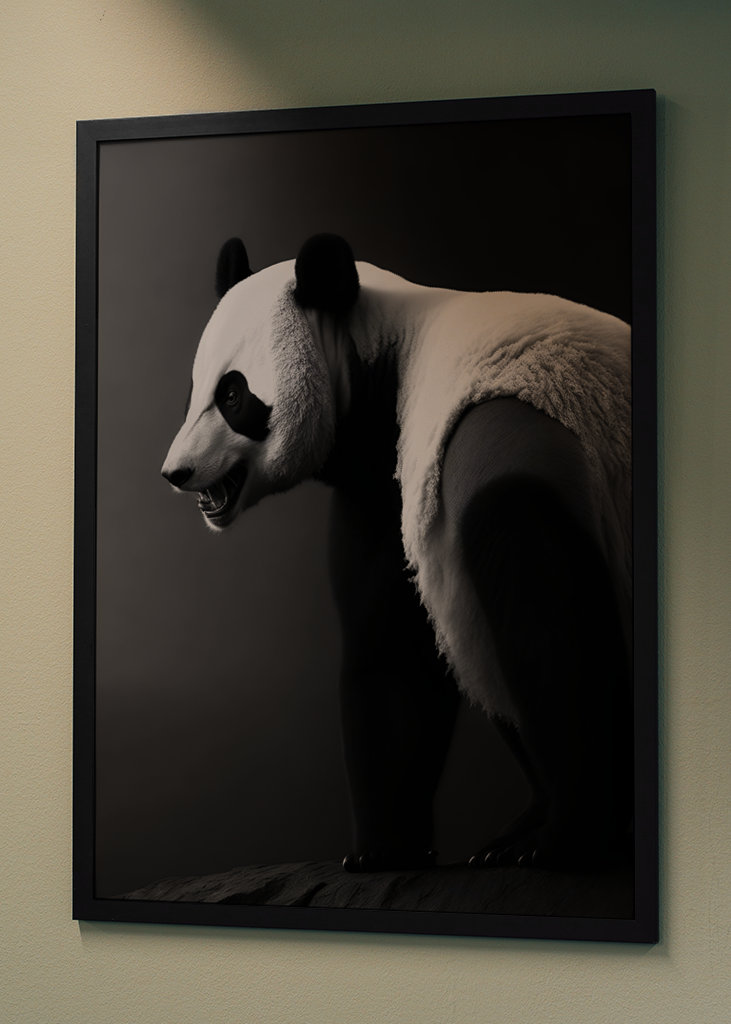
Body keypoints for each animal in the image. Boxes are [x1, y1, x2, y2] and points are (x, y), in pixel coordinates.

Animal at [162, 233, 633, 872]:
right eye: (195, 390)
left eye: (233, 395)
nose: (177, 472)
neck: (380, 347)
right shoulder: (381, 488)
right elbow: (387, 642)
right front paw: (385, 849)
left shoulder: (482, 425)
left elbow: (544, 608)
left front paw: (572, 837)